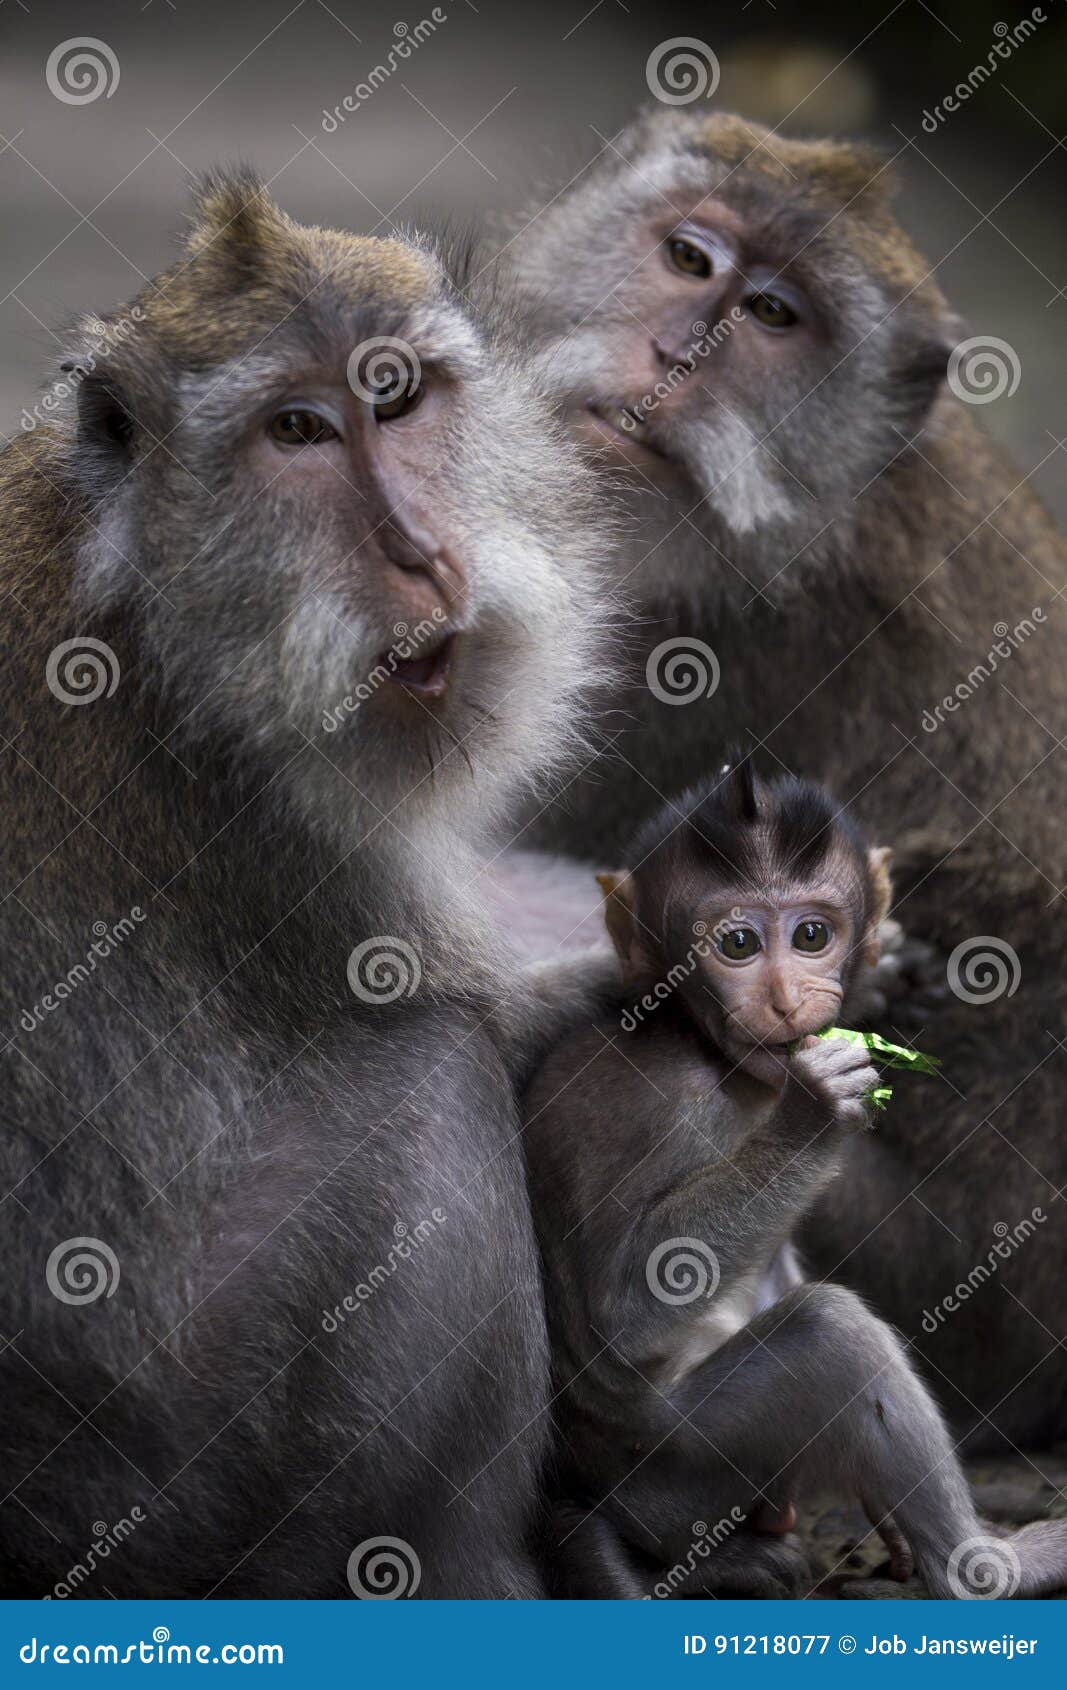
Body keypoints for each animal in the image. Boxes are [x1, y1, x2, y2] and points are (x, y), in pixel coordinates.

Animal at [0, 171, 616, 1597]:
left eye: (397, 399)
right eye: (296, 431)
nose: (421, 551)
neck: (155, 613)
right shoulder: (270, 825)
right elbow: (489, 1018)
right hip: (185, 1497)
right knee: (435, 1074)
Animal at [523, 762, 1067, 1599]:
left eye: (811, 936)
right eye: (737, 944)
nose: (784, 1000)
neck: (711, 1055)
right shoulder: (652, 1104)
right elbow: (621, 1313)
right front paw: (813, 1111)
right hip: (677, 1474)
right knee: (828, 1339)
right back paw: (985, 1567)